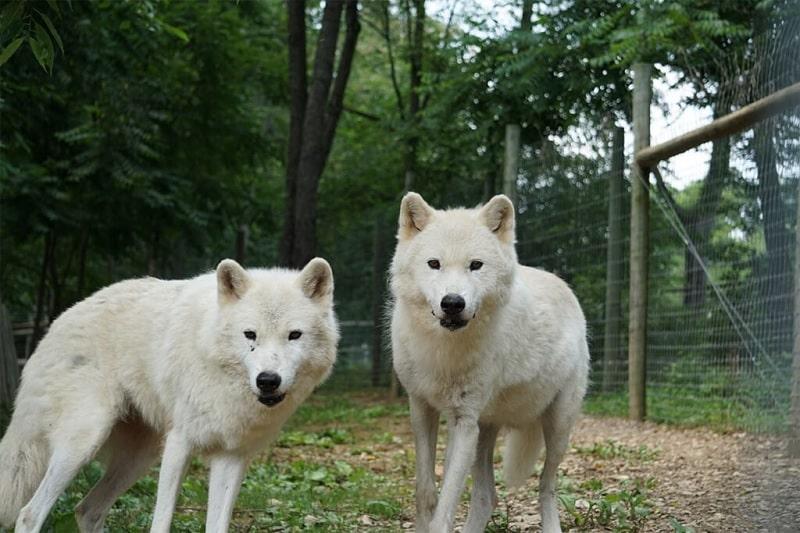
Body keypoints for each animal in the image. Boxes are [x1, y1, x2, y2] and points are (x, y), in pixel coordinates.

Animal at [0, 258, 338, 533]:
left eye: (294, 335)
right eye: (250, 335)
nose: (268, 380)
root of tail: (54, 325)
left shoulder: (231, 457)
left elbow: (217, 525)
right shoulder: (180, 444)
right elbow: (161, 522)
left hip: (140, 457)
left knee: (87, 510)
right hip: (84, 441)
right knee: (29, 514)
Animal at [390, 192, 589, 533]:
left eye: (475, 265)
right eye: (434, 264)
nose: (452, 303)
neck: (444, 351)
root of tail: (561, 283)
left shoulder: (464, 421)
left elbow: (445, 508)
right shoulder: (421, 409)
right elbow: (426, 493)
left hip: (558, 426)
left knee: (546, 487)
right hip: (486, 430)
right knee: (487, 498)